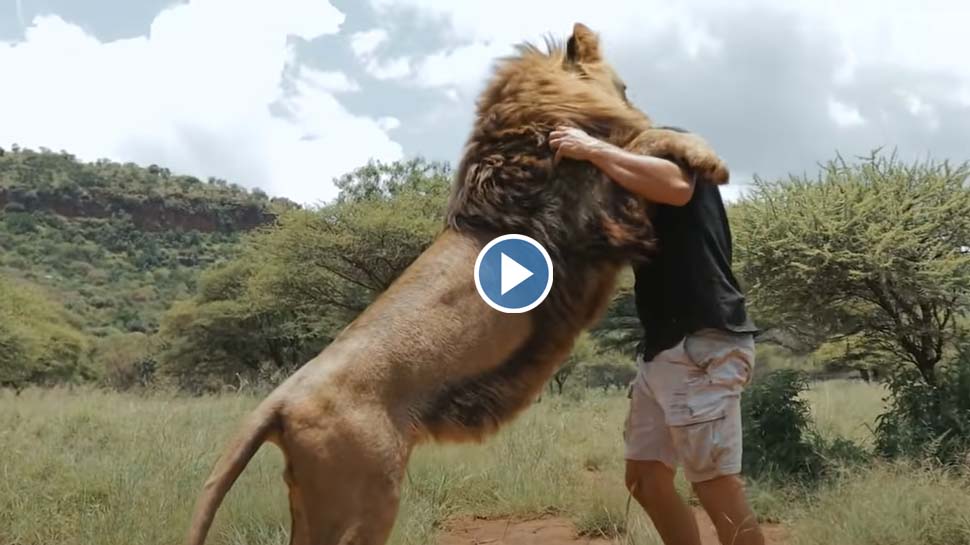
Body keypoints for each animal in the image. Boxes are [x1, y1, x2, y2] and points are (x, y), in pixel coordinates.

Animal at [185, 22, 729, 545]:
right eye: (624, 85)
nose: (635, 96)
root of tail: (279, 400)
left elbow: (640, 143)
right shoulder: (597, 212)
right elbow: (644, 141)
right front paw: (707, 157)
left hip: (312, 503)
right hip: (366, 493)